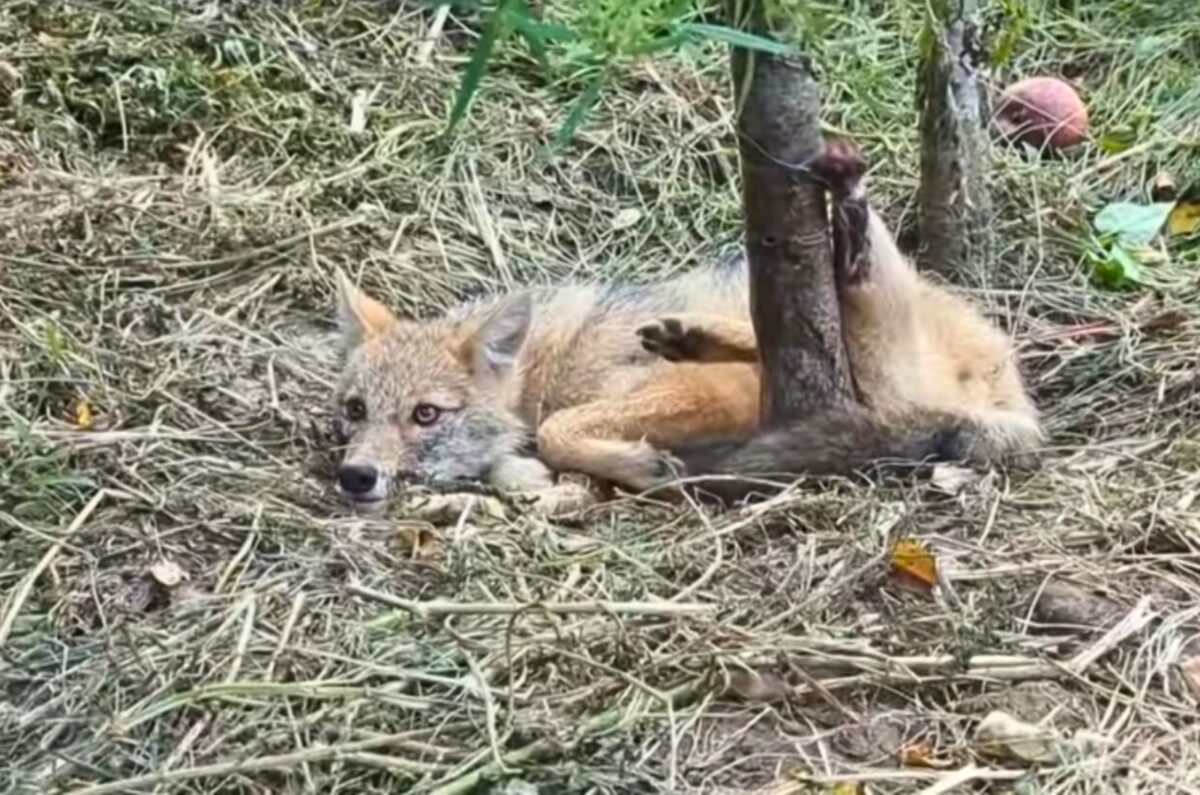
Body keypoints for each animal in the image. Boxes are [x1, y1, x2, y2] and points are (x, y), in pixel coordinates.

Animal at [330, 141, 1042, 514]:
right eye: (355, 410)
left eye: (425, 414)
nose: (354, 476)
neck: (549, 364)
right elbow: (532, 461)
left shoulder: (710, 395)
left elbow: (561, 431)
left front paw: (641, 466)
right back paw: (695, 332)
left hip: (868, 373)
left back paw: (850, 219)